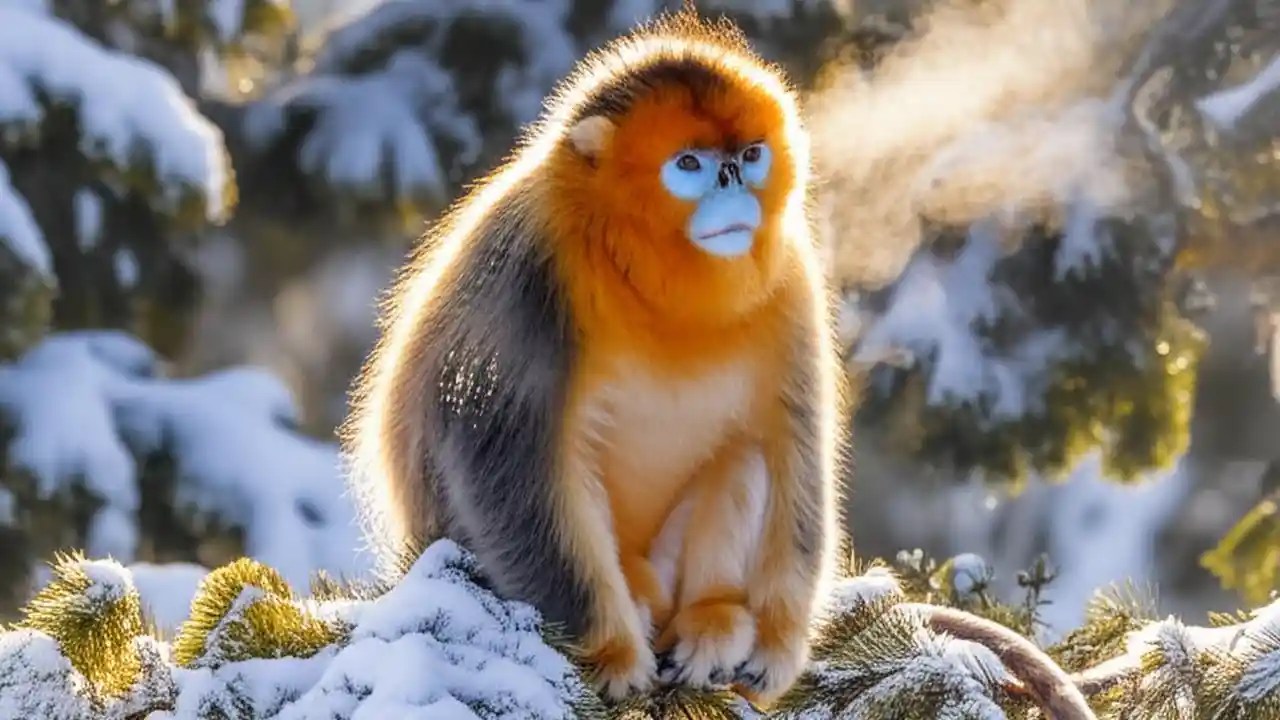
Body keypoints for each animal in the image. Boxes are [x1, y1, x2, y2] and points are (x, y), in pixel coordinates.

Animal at [340, 8, 848, 705]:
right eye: (690, 164)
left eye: (750, 155)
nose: (733, 182)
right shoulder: (534, 271)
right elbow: (506, 470)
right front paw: (612, 656)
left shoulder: (790, 281)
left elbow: (795, 445)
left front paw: (777, 646)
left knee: (749, 455)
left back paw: (711, 622)